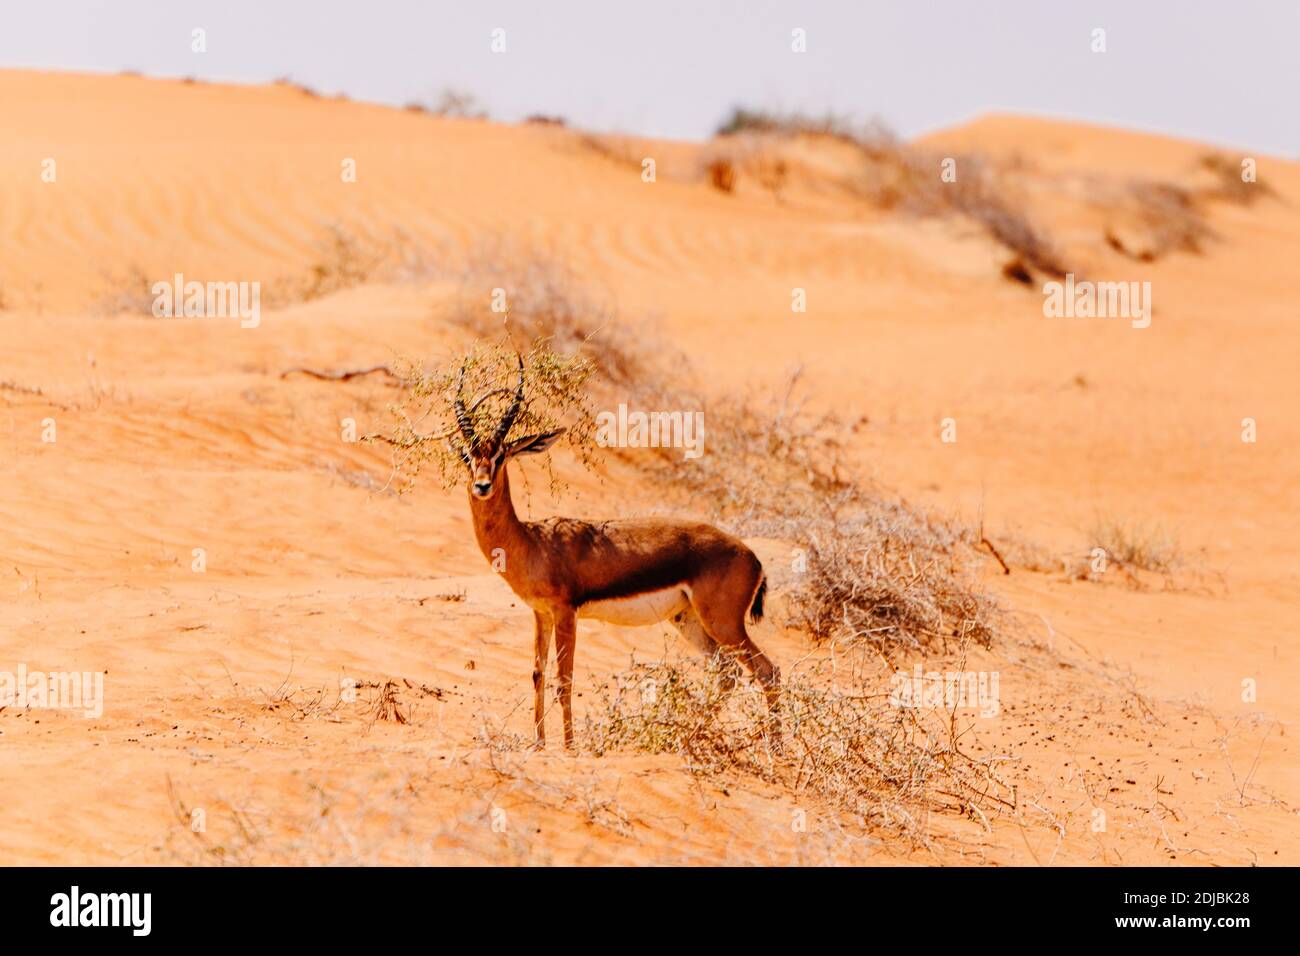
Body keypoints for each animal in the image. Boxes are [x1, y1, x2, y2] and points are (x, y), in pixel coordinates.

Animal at [447, 358, 780, 748]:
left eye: (500, 455)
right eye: (468, 456)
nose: (481, 486)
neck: (532, 541)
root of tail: (752, 557)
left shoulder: (565, 613)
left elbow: (564, 679)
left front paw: (570, 747)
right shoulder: (540, 614)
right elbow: (537, 674)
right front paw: (539, 744)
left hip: (724, 624)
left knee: (767, 671)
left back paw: (774, 748)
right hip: (689, 620)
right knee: (726, 673)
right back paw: (691, 736)